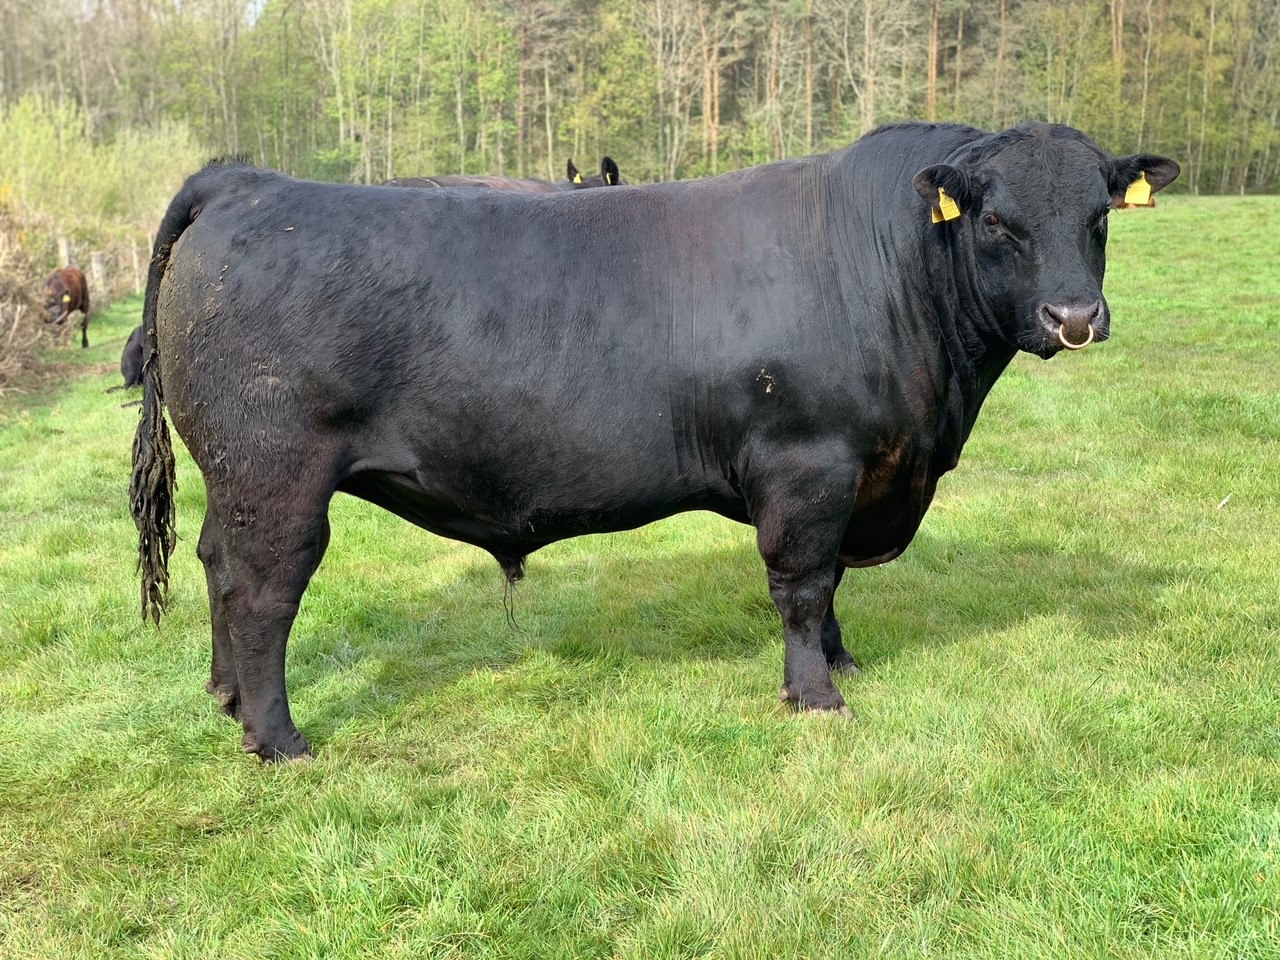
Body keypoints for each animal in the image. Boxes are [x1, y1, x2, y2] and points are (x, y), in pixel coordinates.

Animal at [130, 122, 1178, 761]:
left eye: (1099, 217)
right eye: (998, 221)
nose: (1075, 317)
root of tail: (247, 183)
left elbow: (832, 588)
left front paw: (841, 662)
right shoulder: (809, 462)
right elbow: (804, 584)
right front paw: (815, 696)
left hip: (236, 478)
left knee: (216, 563)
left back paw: (225, 697)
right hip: (279, 476)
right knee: (261, 593)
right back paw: (277, 738)